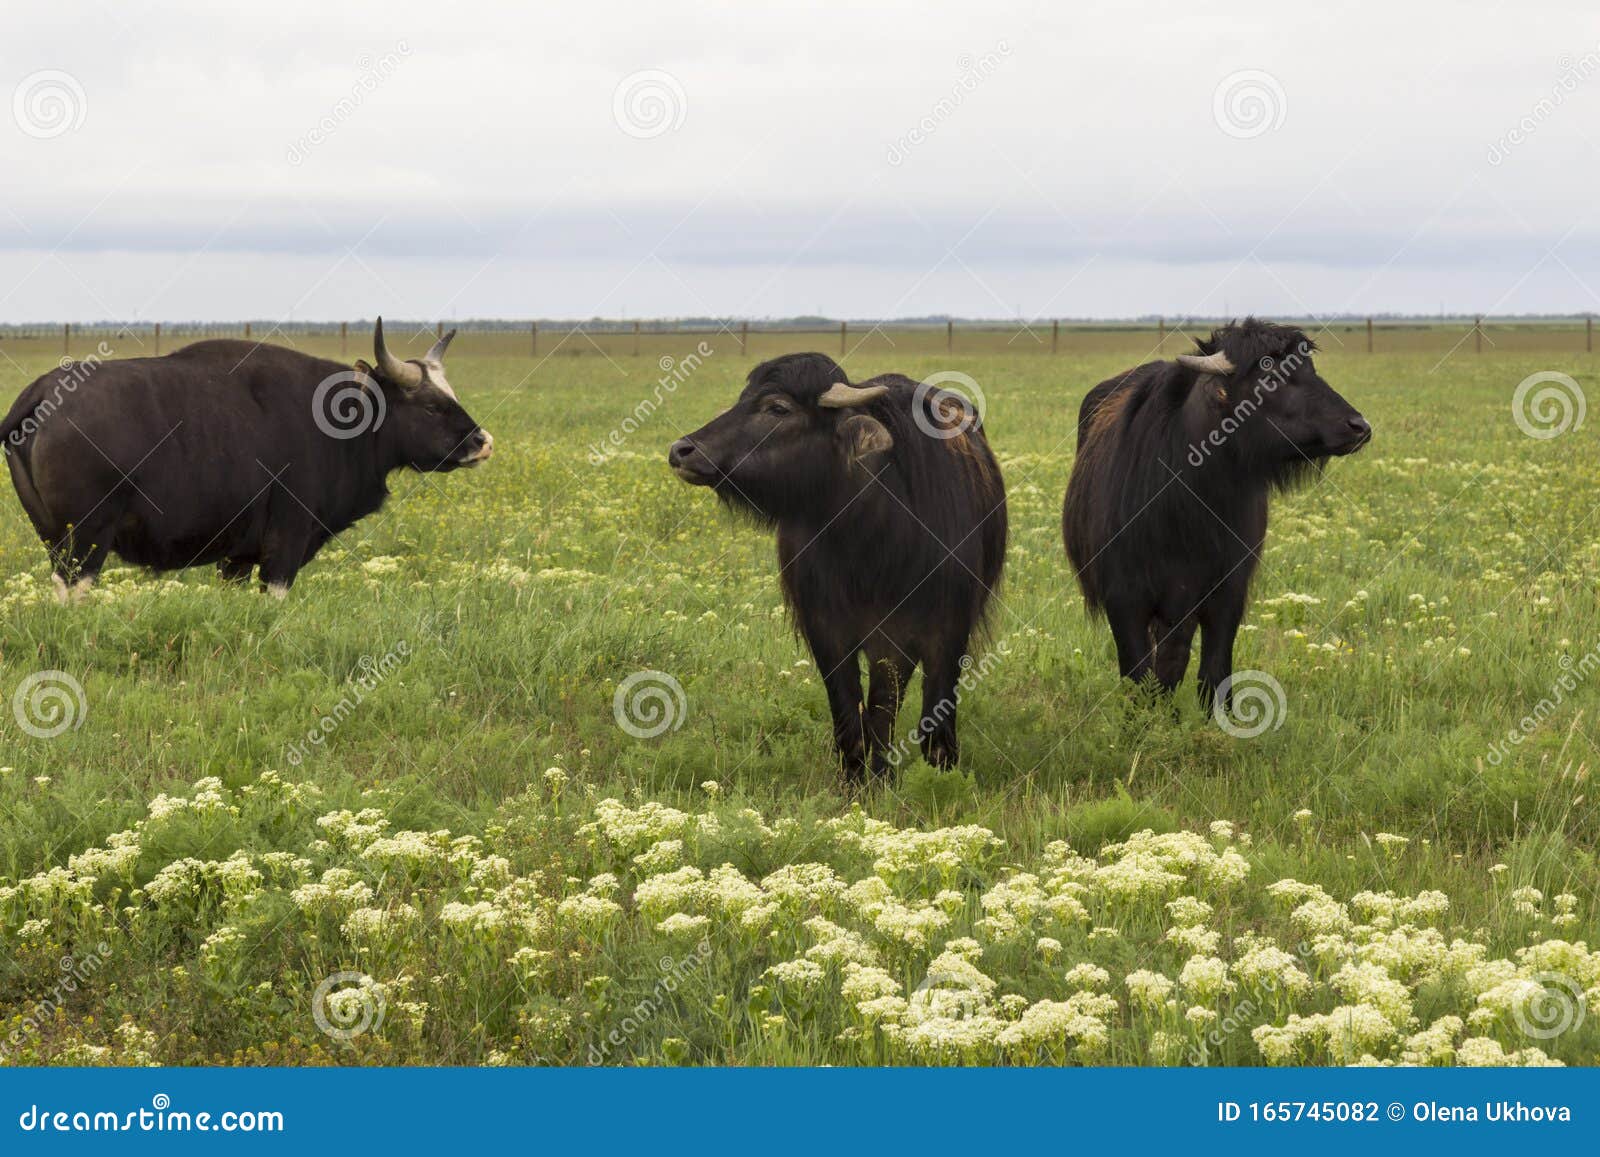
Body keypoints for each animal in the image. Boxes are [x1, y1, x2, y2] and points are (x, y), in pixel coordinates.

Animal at [1, 319, 493, 600]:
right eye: (430, 406)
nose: (483, 441)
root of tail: (46, 391)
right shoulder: (284, 549)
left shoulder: (236, 559)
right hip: (85, 543)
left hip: (57, 542)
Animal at [669, 353, 1007, 780]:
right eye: (743, 398)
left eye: (777, 408)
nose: (681, 450)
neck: (865, 544)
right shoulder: (826, 631)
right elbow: (850, 712)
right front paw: (857, 778)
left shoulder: (935, 631)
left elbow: (915, 712)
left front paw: (919, 774)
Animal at [1062, 319, 1370, 709]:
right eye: (1269, 372)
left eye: (1309, 368)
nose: (1359, 426)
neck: (1190, 507)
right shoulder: (1124, 598)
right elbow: (1137, 676)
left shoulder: (1226, 593)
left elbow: (1212, 673)